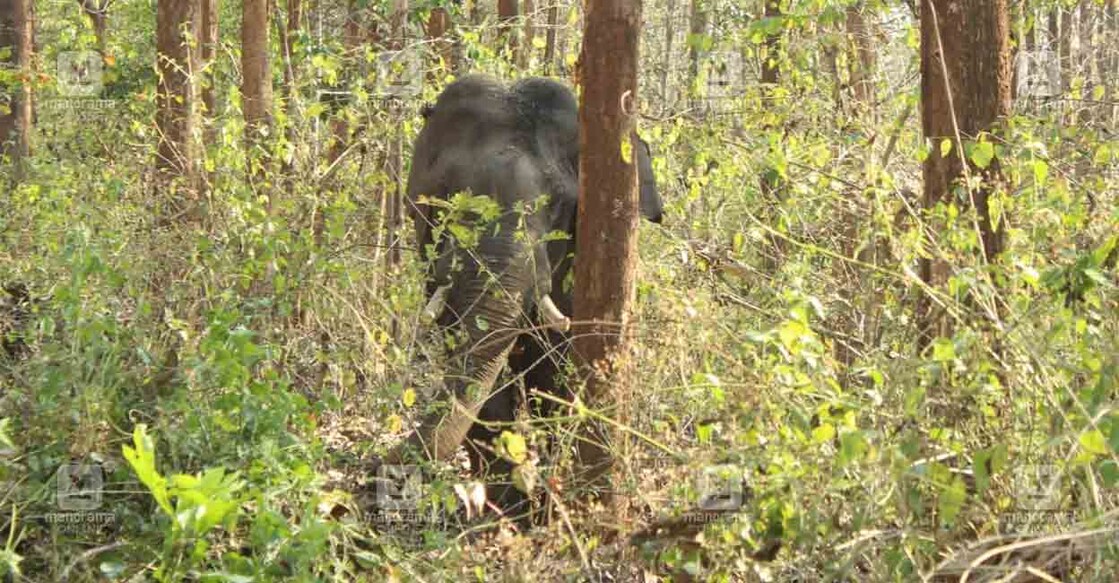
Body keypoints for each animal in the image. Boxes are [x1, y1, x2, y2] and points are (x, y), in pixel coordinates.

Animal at [384, 75, 663, 520]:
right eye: (442, 194)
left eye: (562, 204)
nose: (384, 463)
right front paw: (507, 509)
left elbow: (552, 370)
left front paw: (542, 508)